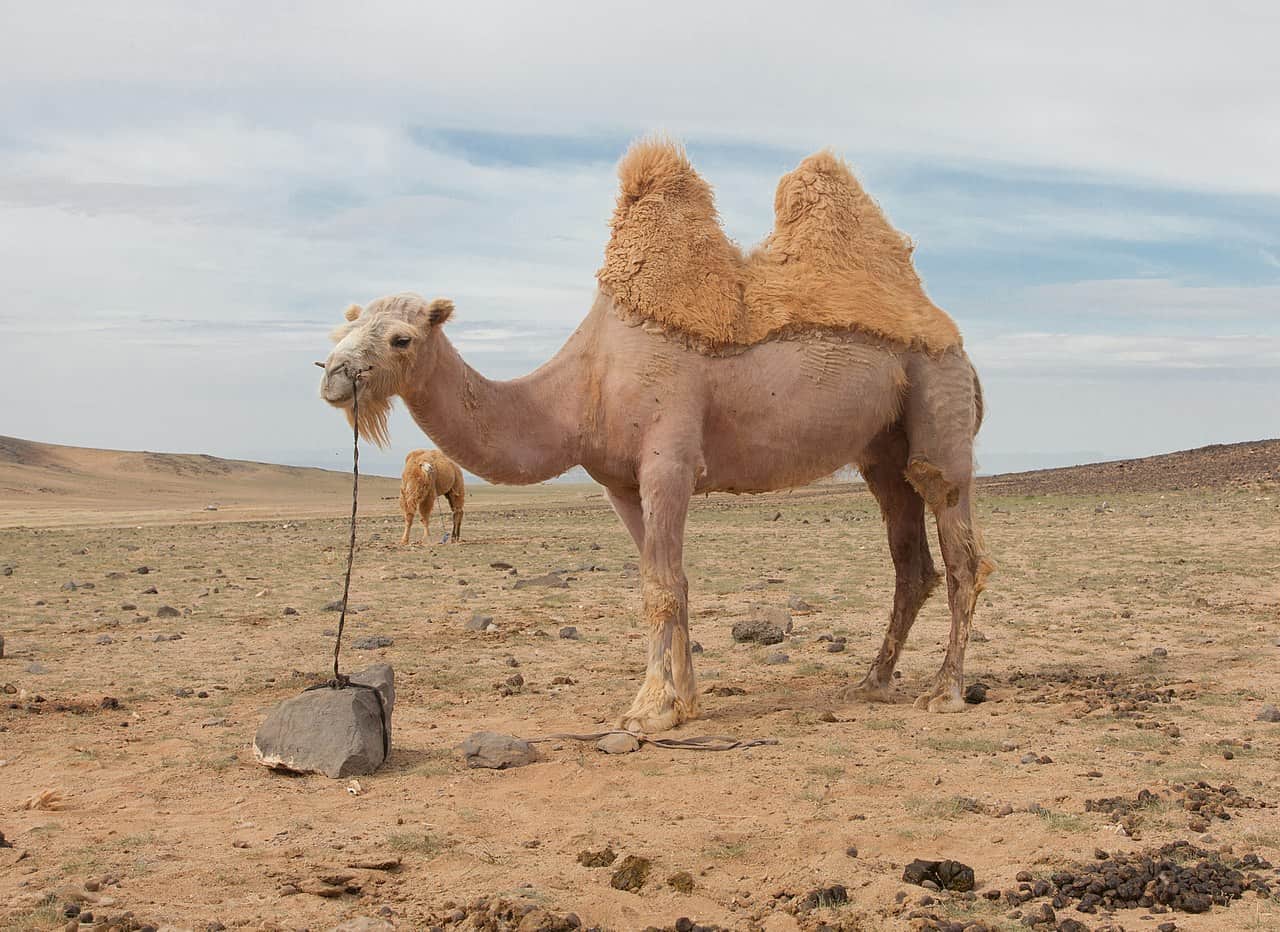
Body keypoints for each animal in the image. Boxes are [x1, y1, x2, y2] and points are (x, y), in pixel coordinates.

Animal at [319, 140, 993, 732]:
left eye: (401, 338)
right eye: (342, 331)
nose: (334, 375)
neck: (584, 382)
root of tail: (955, 340)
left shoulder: (668, 461)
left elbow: (661, 586)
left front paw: (652, 710)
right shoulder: (618, 481)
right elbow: (669, 584)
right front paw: (682, 700)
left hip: (937, 398)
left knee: (961, 550)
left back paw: (944, 690)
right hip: (882, 451)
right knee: (912, 562)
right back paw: (872, 681)